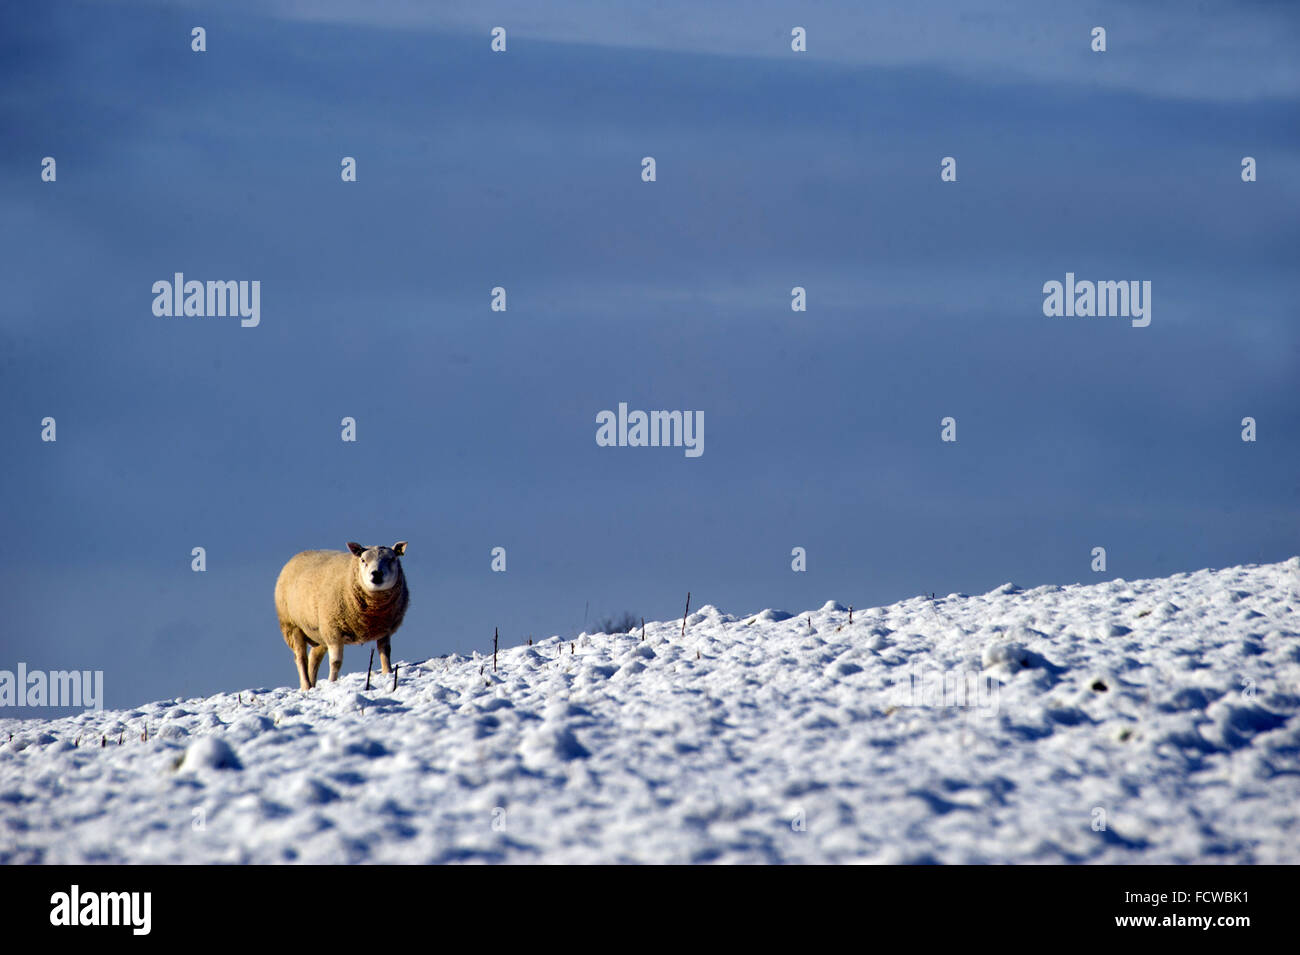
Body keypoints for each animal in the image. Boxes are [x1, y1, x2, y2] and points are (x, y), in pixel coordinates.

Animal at [274, 541, 409, 690]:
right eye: (363, 560)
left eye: (392, 559)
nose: (376, 574)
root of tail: (299, 555)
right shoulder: (333, 631)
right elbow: (336, 662)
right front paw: (332, 682)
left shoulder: (385, 629)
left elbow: (385, 652)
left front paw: (388, 673)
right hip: (292, 626)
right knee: (301, 658)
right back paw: (306, 686)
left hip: (320, 632)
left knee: (314, 658)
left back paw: (312, 685)